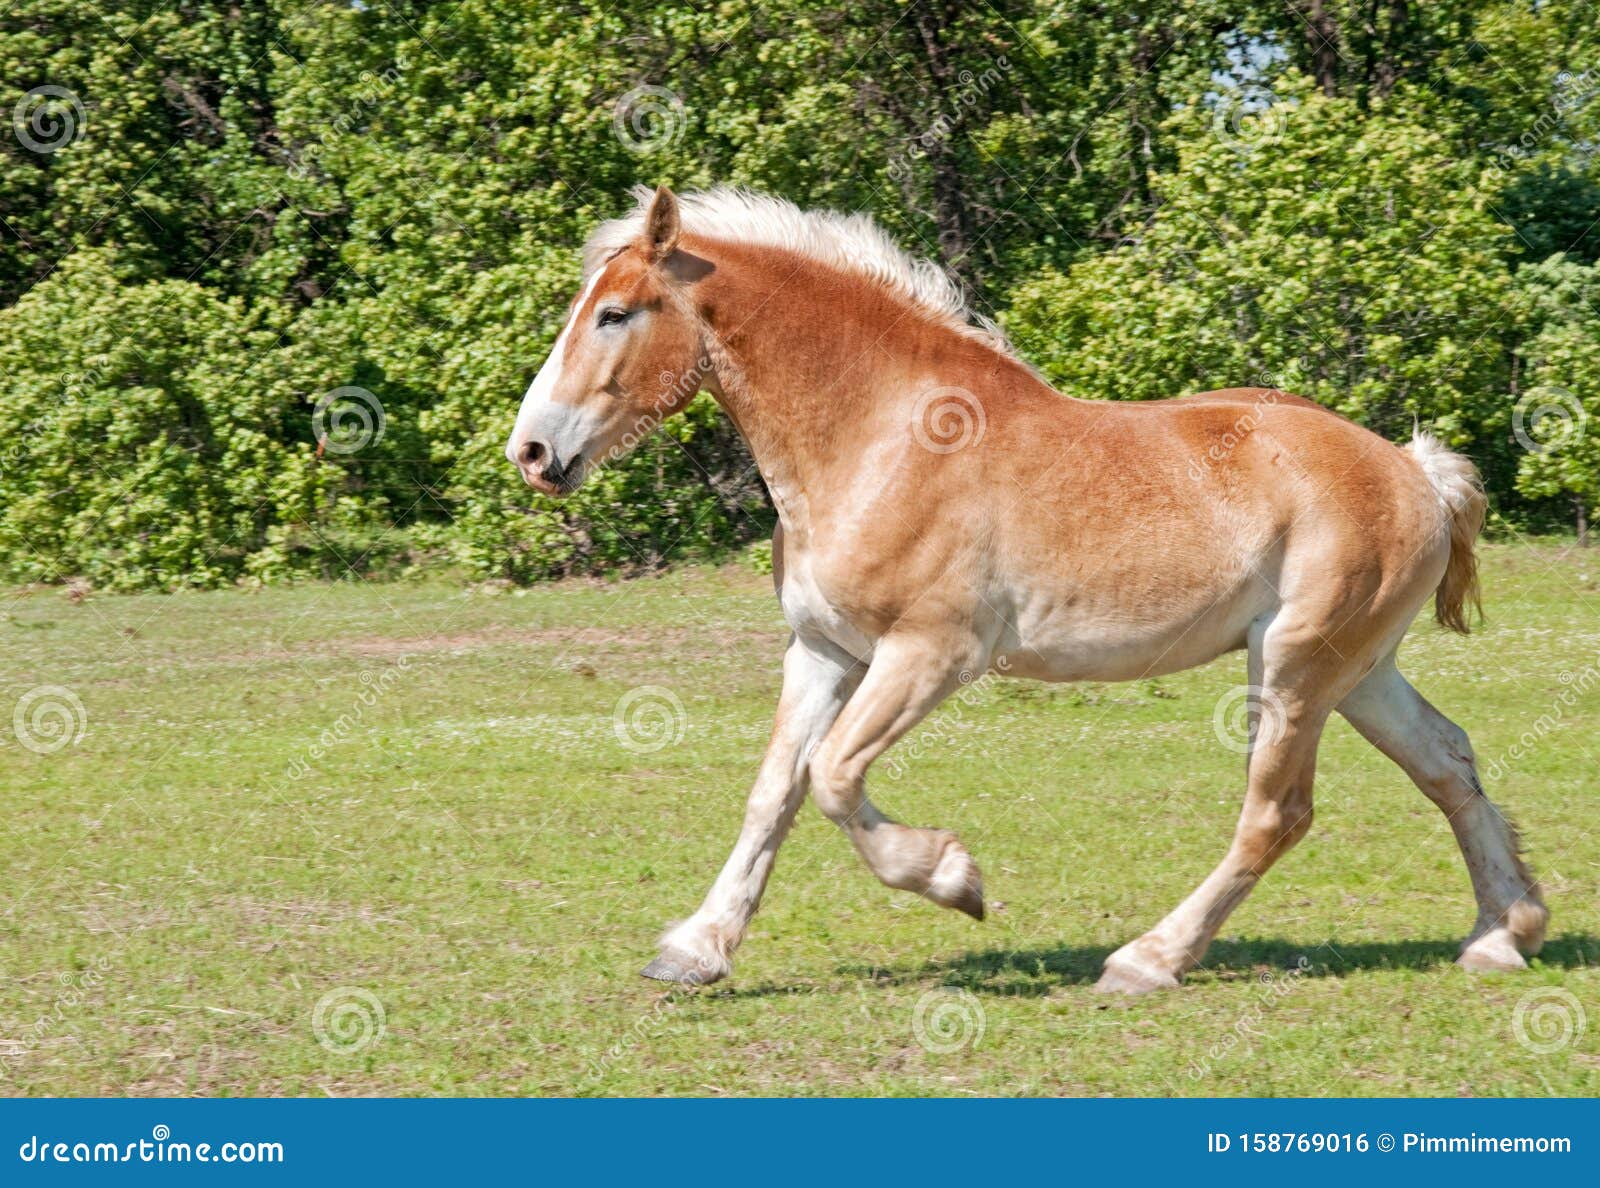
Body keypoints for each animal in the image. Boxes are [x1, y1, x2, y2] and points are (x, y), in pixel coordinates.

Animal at [504, 185, 1547, 993]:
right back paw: (1504, 934)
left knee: (1276, 814)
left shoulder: (931, 655)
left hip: (1294, 667)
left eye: (614, 313)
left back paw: (1148, 960)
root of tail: (1415, 471)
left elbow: (834, 778)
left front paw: (953, 879)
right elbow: (776, 793)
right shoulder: (825, 652)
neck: (882, 437)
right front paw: (696, 951)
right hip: (1359, 672)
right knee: (1448, 763)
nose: (533, 452)